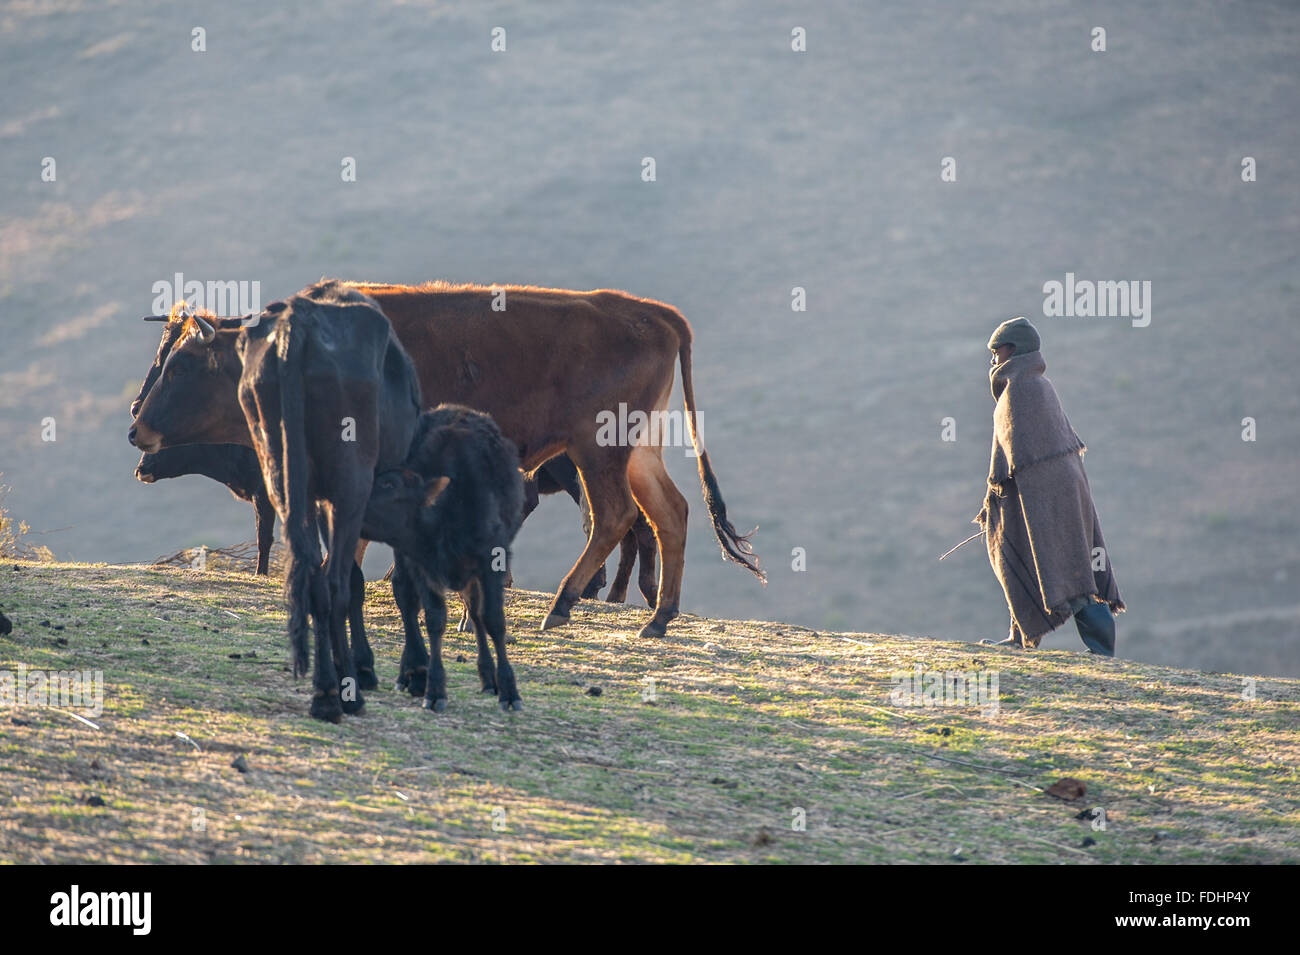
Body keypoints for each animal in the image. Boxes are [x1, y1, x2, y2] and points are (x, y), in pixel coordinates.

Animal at [363, 405, 525, 712]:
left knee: (474, 610)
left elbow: (493, 619)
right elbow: (434, 619)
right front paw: (434, 690)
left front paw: (510, 691)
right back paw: (410, 673)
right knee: (406, 598)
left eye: (390, 485)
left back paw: (488, 678)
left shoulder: (491, 560)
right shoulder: (421, 564)